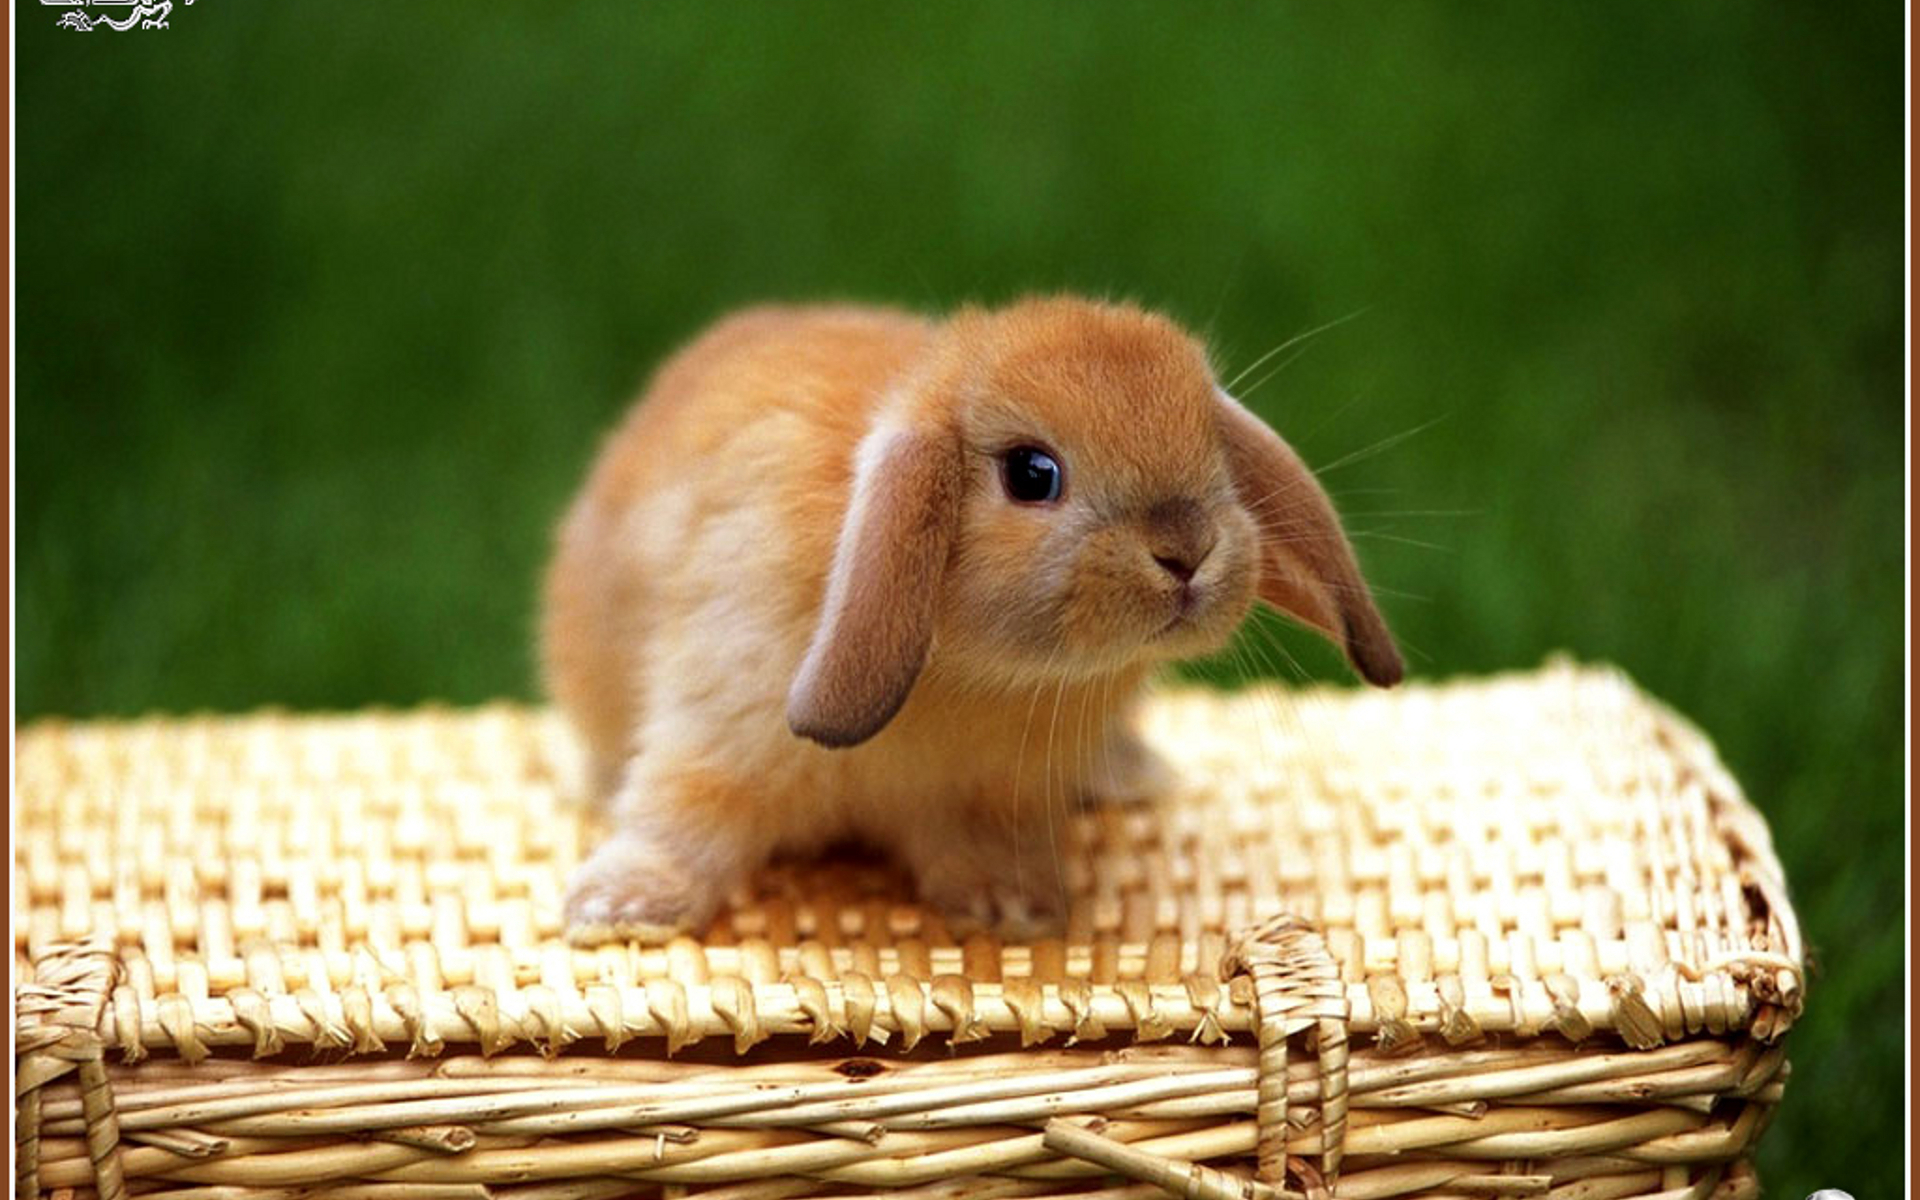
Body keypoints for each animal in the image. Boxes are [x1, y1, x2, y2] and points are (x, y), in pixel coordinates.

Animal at [543, 296, 1402, 942]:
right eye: (1032, 474)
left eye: (1213, 453)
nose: (1187, 550)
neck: (975, 672)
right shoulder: (718, 728)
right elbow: (681, 817)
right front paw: (618, 910)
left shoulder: (993, 794)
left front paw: (1012, 911)